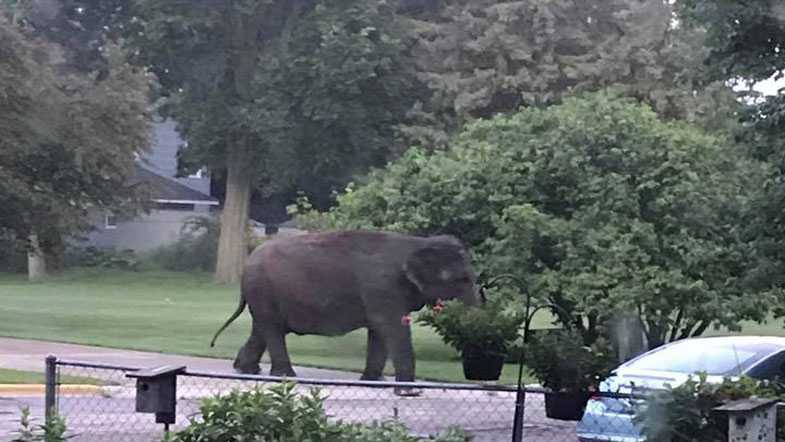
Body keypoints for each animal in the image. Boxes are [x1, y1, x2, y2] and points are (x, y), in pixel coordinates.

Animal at [210, 230, 479, 392]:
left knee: (263, 329)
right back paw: (285, 377)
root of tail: (247, 264)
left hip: (264, 294)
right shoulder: (383, 287)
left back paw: (246, 370)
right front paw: (408, 392)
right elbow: (391, 328)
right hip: (263, 290)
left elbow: (379, 332)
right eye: (463, 279)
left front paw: (374, 383)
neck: (417, 242)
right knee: (272, 330)